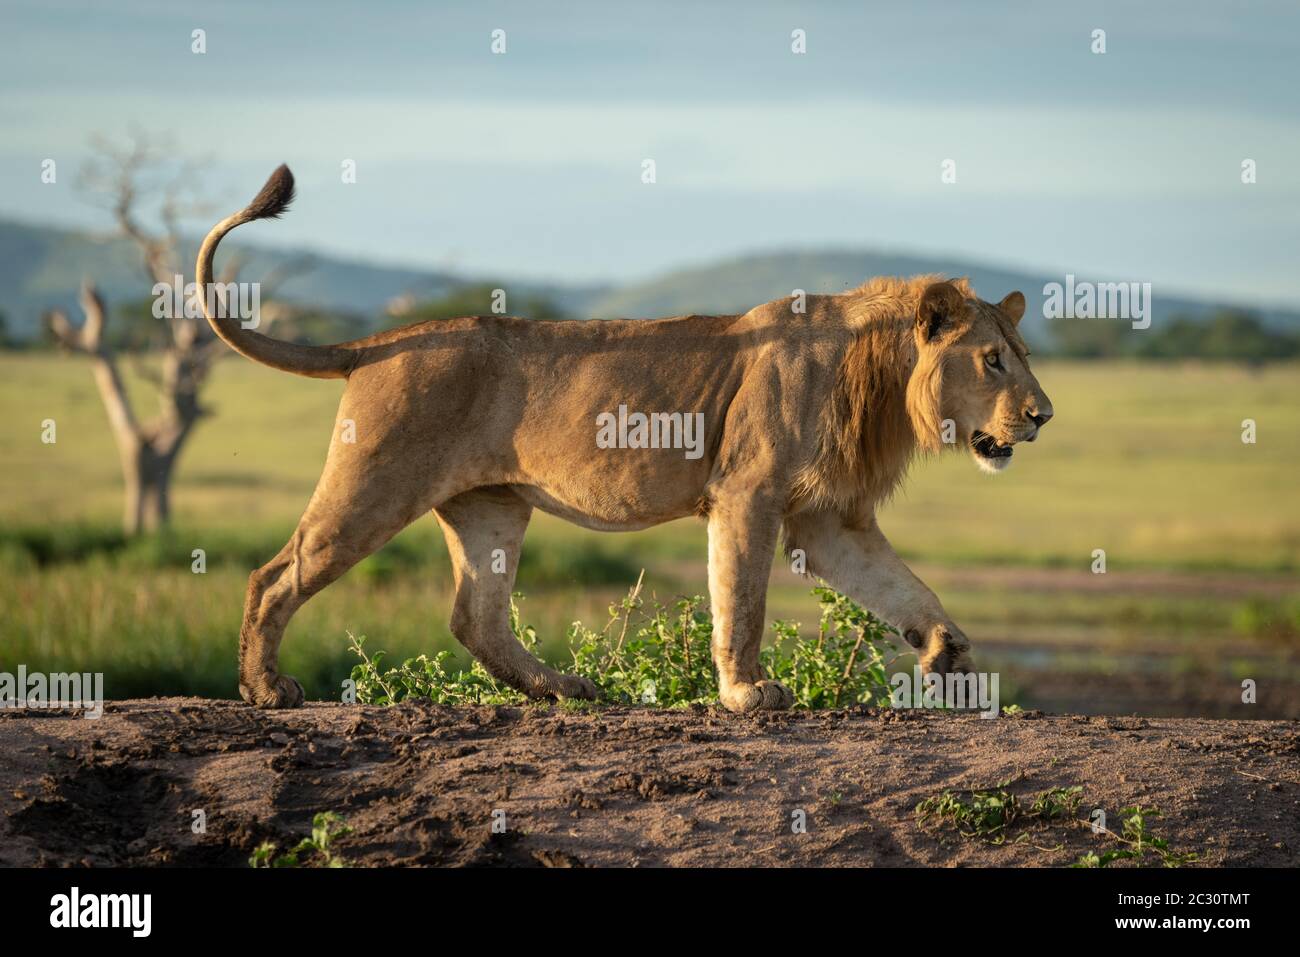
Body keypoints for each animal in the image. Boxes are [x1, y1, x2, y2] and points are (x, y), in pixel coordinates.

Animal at [197, 166, 1054, 713]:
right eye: (993, 358)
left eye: (1022, 353)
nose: (1043, 415)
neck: (880, 378)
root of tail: (380, 340)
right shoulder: (749, 492)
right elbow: (741, 600)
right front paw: (747, 694)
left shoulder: (826, 518)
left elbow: (904, 587)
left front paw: (947, 653)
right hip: (375, 483)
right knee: (273, 577)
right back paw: (265, 689)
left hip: (490, 505)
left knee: (477, 617)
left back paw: (564, 689)